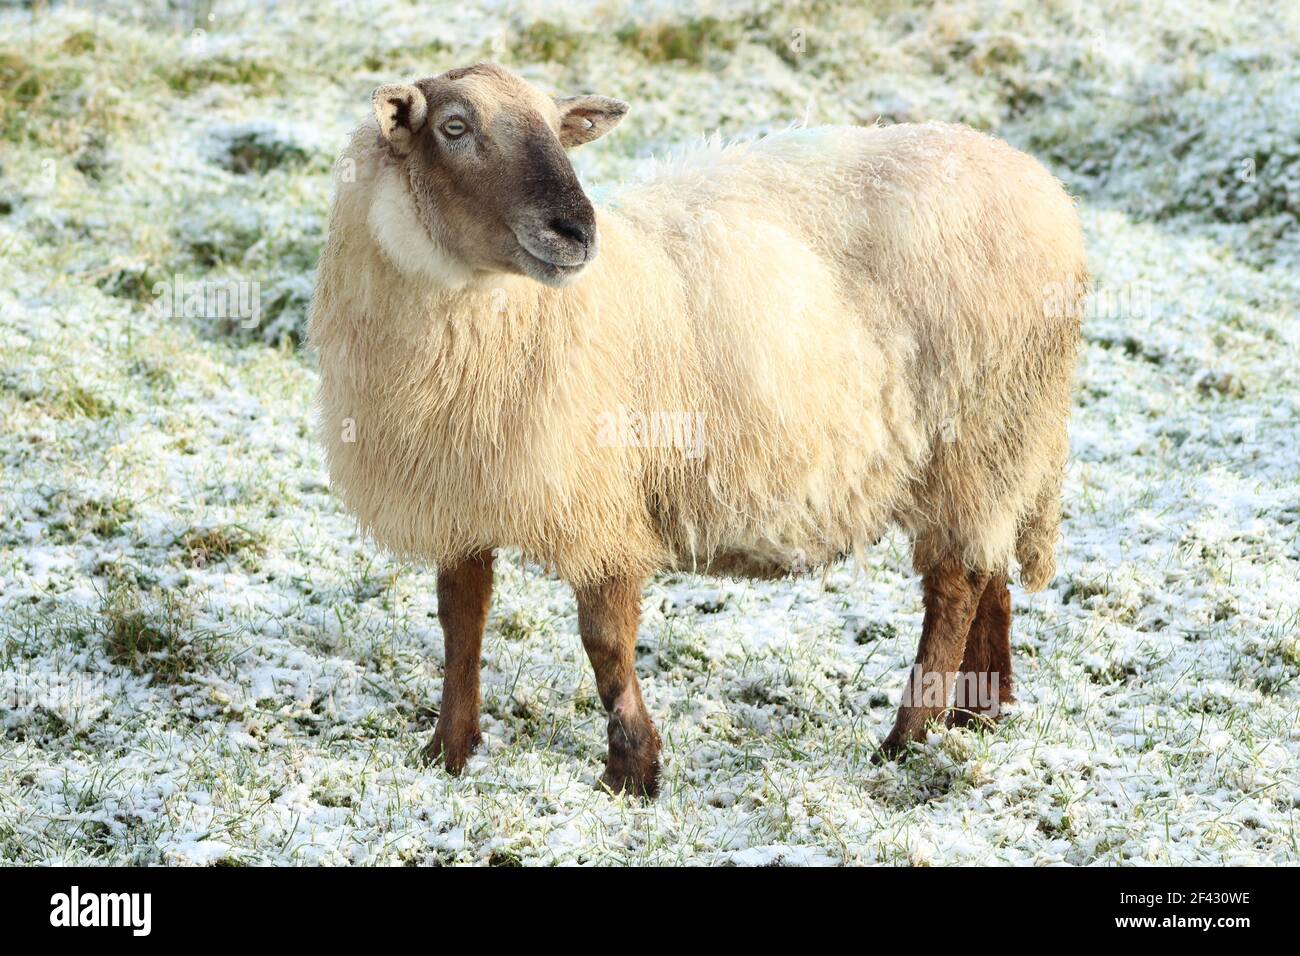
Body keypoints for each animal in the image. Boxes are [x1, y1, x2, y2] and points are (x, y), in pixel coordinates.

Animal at [308, 63, 1088, 796]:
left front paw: (631, 771)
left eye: (557, 130)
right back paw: (980, 711)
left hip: (976, 432)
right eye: (456, 128)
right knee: (988, 568)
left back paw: (906, 738)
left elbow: (605, 641)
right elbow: (461, 625)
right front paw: (448, 752)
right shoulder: (460, 494)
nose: (576, 232)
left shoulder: (603, 499)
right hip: (1002, 442)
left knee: (954, 586)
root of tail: (1045, 191)